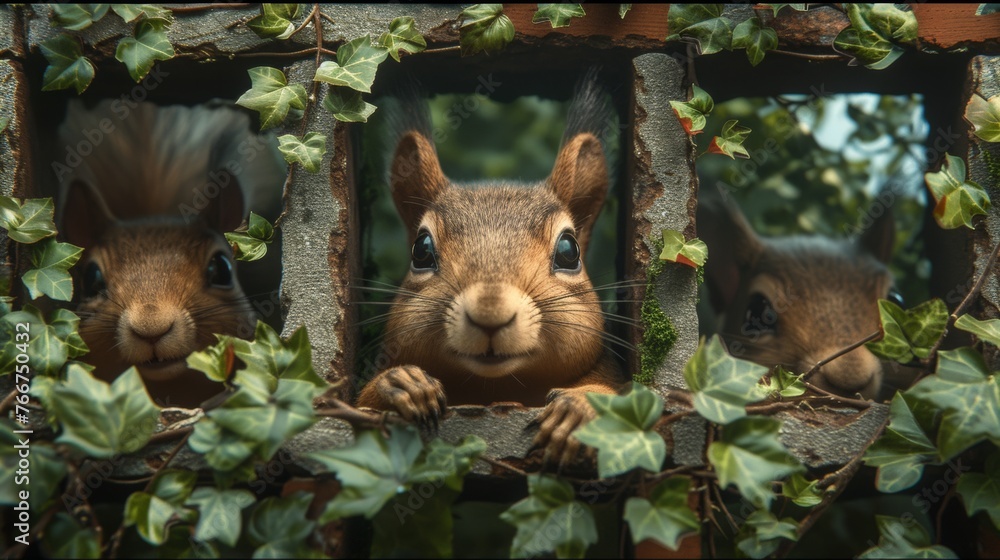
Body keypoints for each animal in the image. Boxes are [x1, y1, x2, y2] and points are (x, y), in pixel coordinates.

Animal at [356, 73, 626, 464]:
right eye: (421, 251)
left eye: (568, 251)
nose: (490, 313)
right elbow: (362, 402)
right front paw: (402, 384)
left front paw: (578, 409)